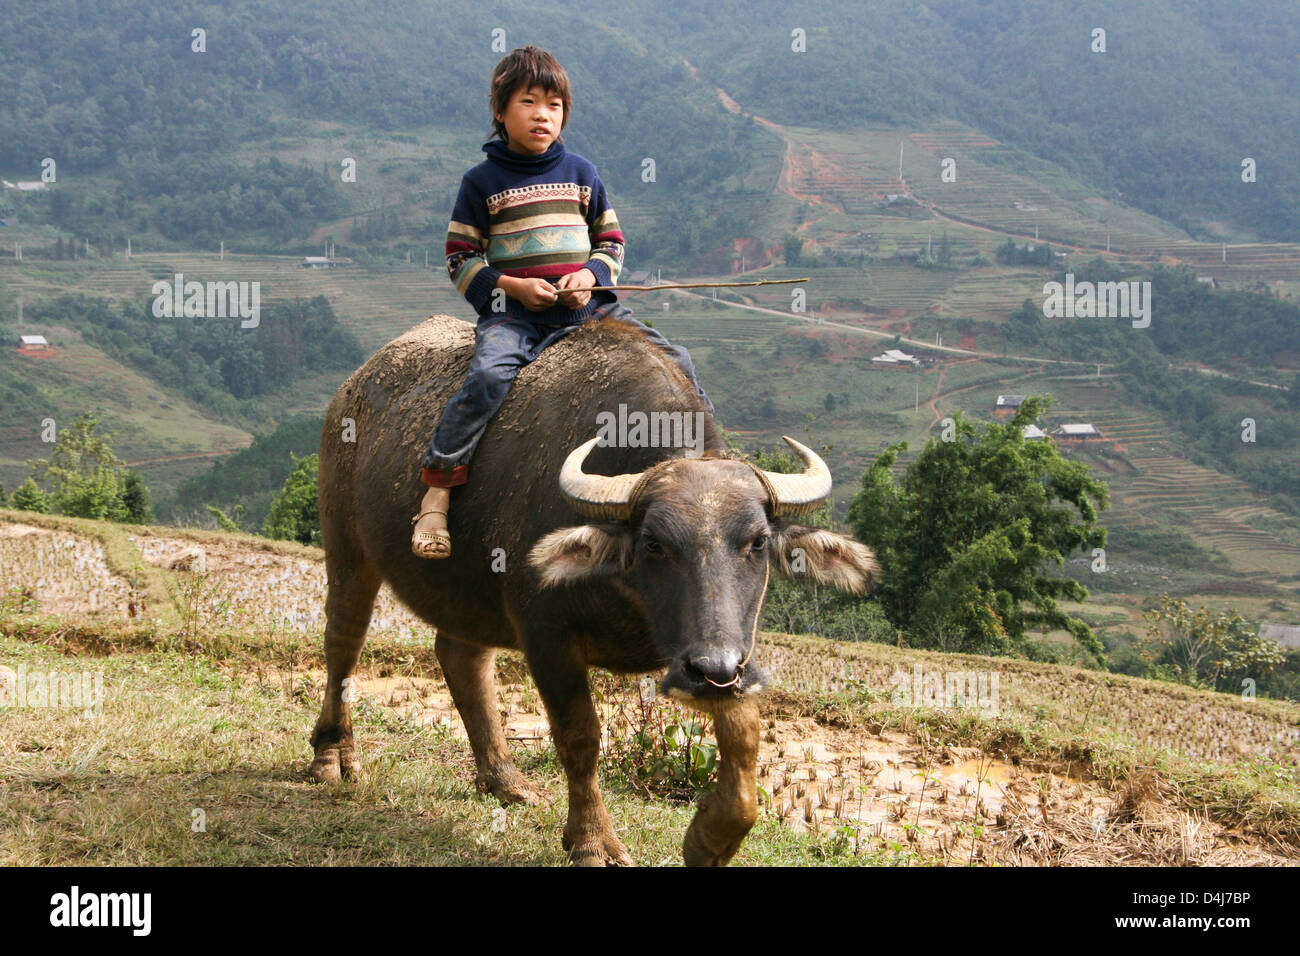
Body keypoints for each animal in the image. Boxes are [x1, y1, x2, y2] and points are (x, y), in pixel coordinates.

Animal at [309, 314, 879, 865]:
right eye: (654, 543)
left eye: (757, 542)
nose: (712, 669)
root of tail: (351, 389)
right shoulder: (547, 635)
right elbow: (580, 737)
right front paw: (592, 841)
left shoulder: (726, 646)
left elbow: (744, 739)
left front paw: (709, 839)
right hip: (346, 541)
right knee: (343, 642)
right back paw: (332, 756)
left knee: (461, 659)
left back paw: (505, 780)